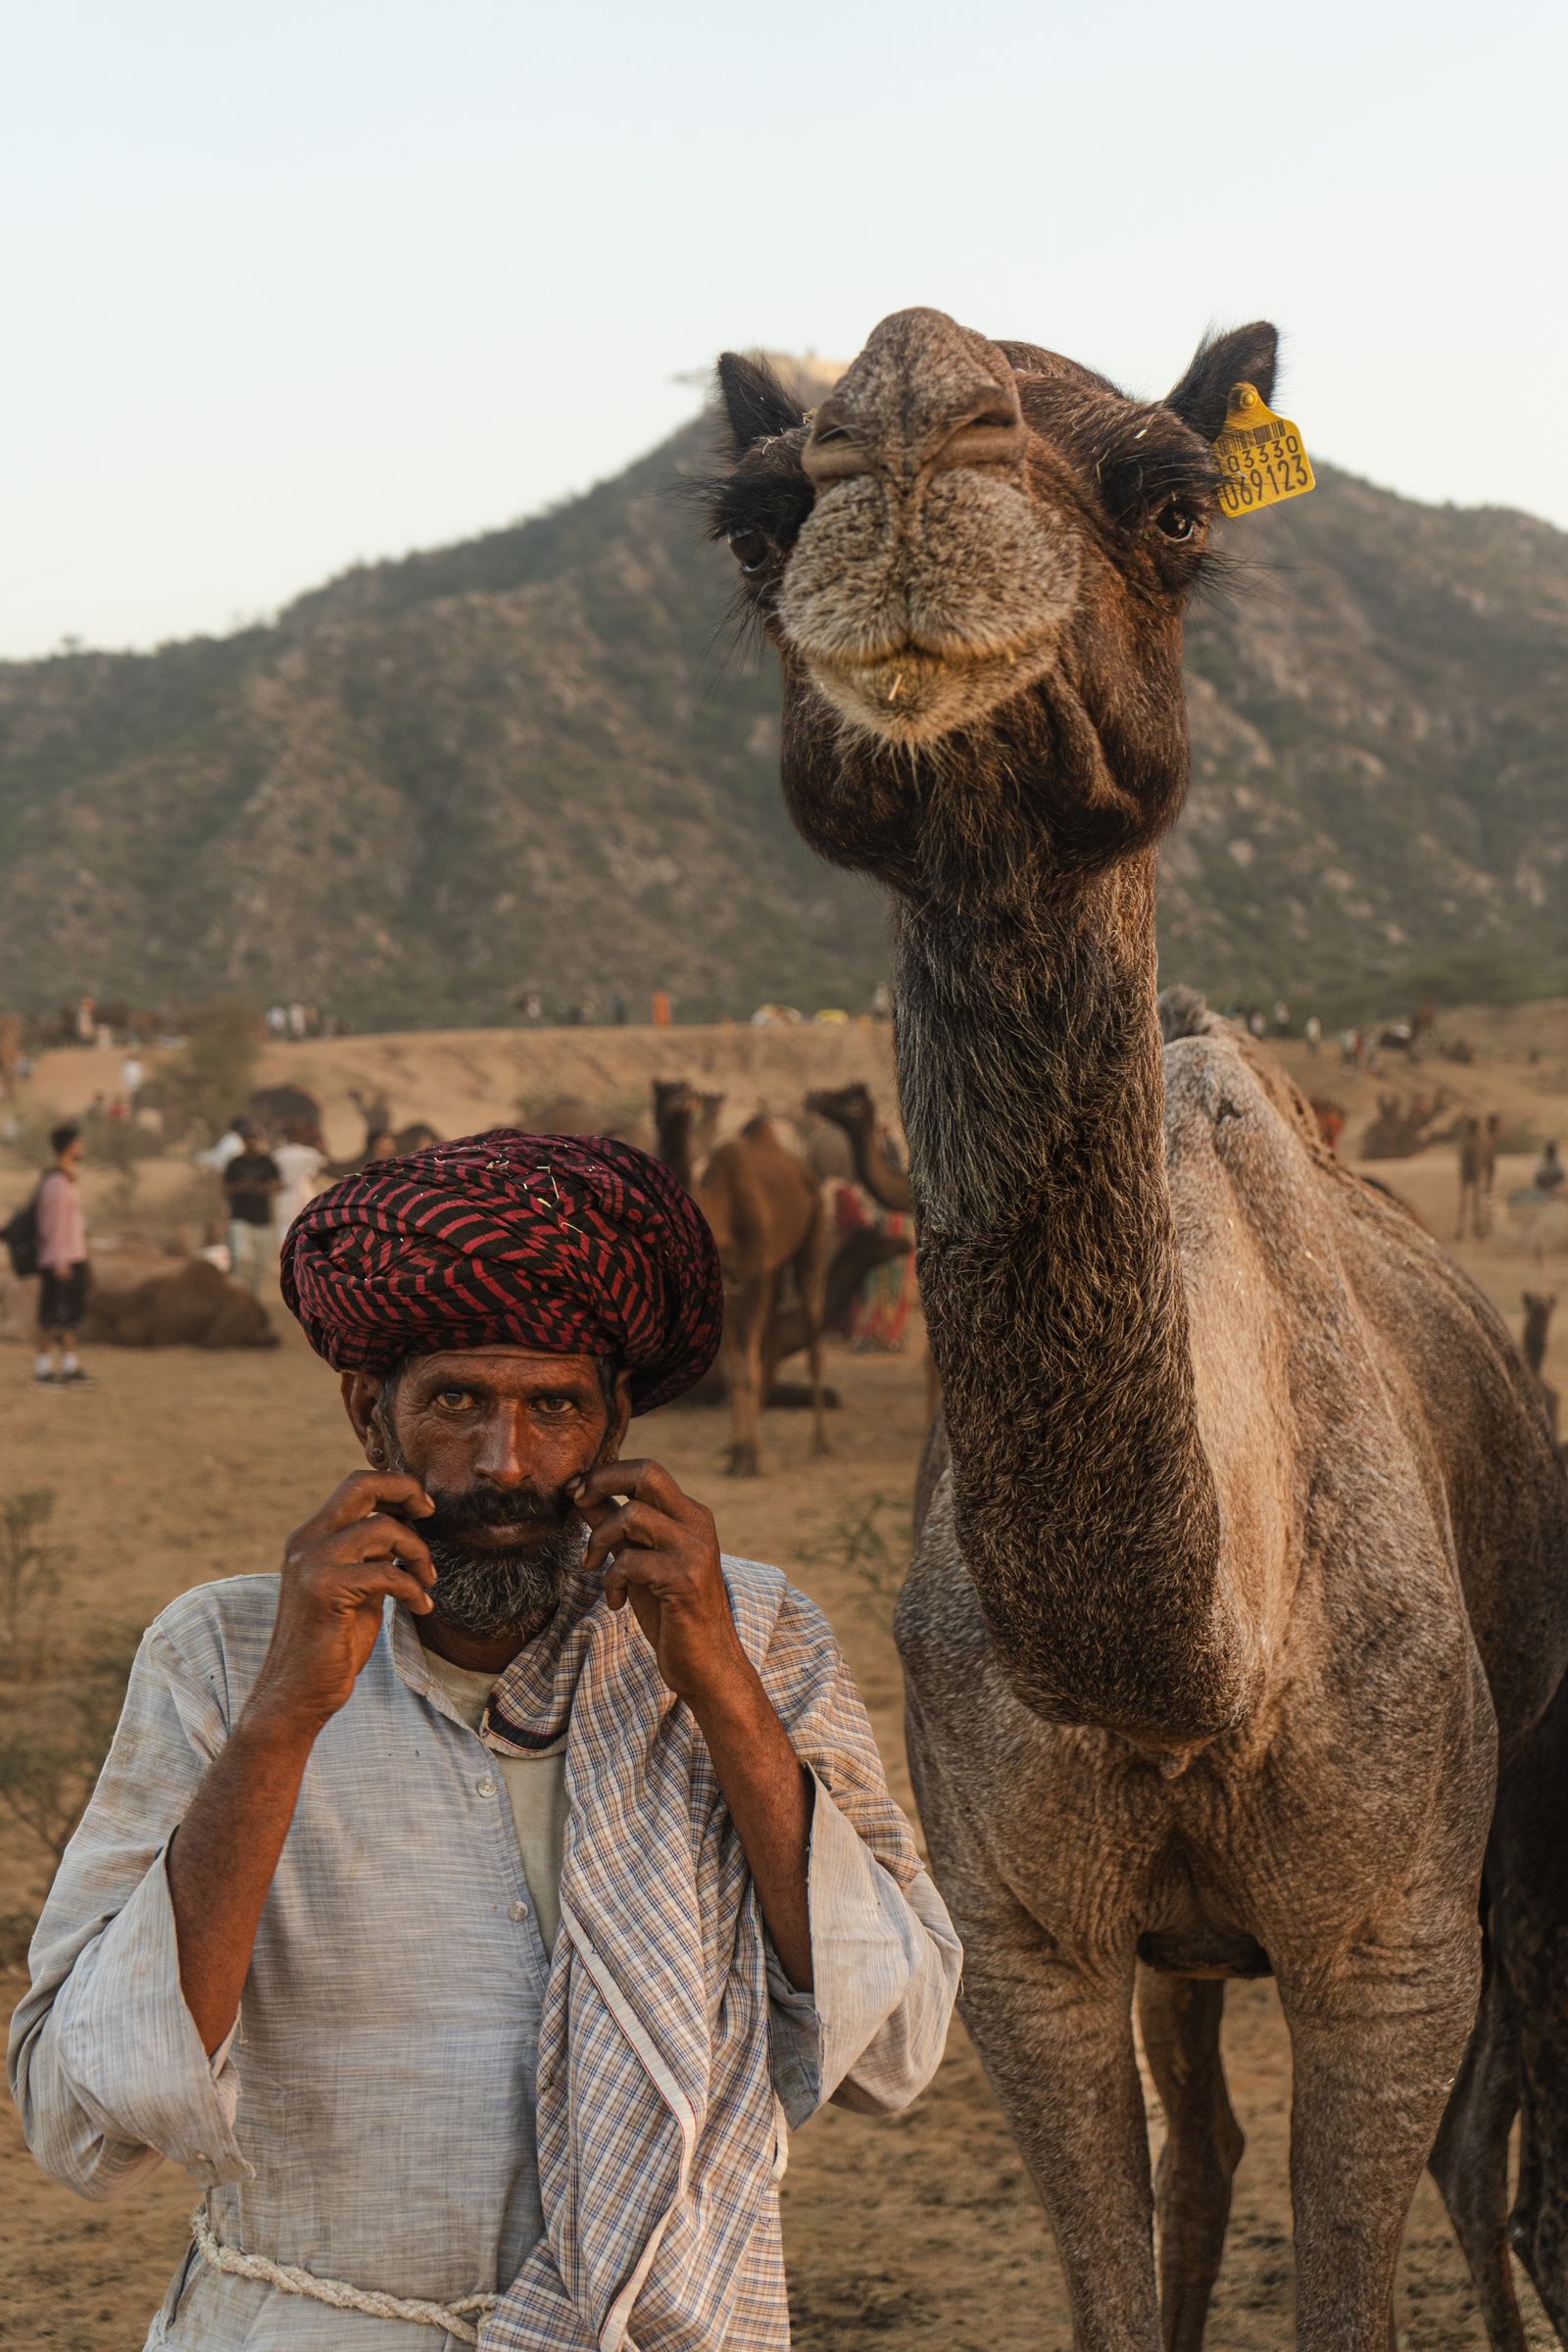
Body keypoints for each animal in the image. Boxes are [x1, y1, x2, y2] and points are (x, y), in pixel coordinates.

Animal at [653, 1080, 830, 1473]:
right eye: (659, 1092)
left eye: (687, 1092)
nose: (677, 1106)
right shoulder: (727, 1287)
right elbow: (733, 1369)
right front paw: (737, 1451)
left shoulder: (753, 1275)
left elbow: (746, 1368)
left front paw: (750, 1459)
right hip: (775, 1269)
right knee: (771, 1337)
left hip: (811, 1239)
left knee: (811, 1338)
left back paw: (819, 1442)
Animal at [710, 311, 1568, 2349]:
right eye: (753, 527)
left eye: (1180, 506)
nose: (911, 409)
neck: (1201, 1659)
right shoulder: (1024, 1942)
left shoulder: (1391, 1943)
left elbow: (1364, 2267)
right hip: (1188, 1947)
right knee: (1214, 2146)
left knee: (1493, 2124)